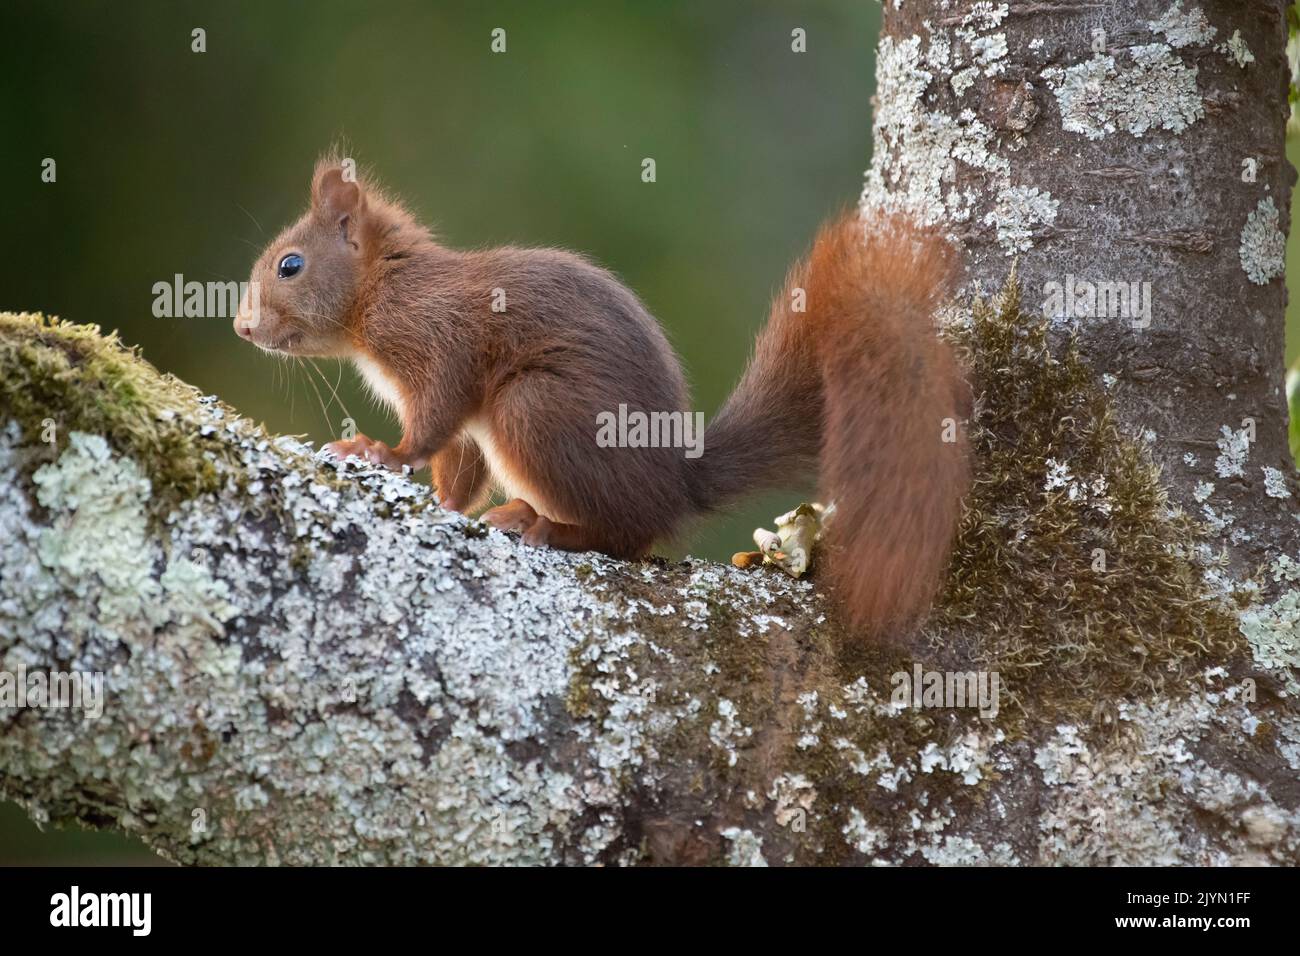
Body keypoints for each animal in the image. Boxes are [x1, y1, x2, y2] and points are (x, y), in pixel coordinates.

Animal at [234, 156, 971, 636]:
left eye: (290, 265)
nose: (241, 327)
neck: (383, 288)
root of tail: (676, 486)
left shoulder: (441, 346)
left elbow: (432, 425)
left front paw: (380, 452)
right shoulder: (464, 424)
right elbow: (459, 470)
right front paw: (443, 502)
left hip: (532, 411)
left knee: (623, 537)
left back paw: (542, 523)